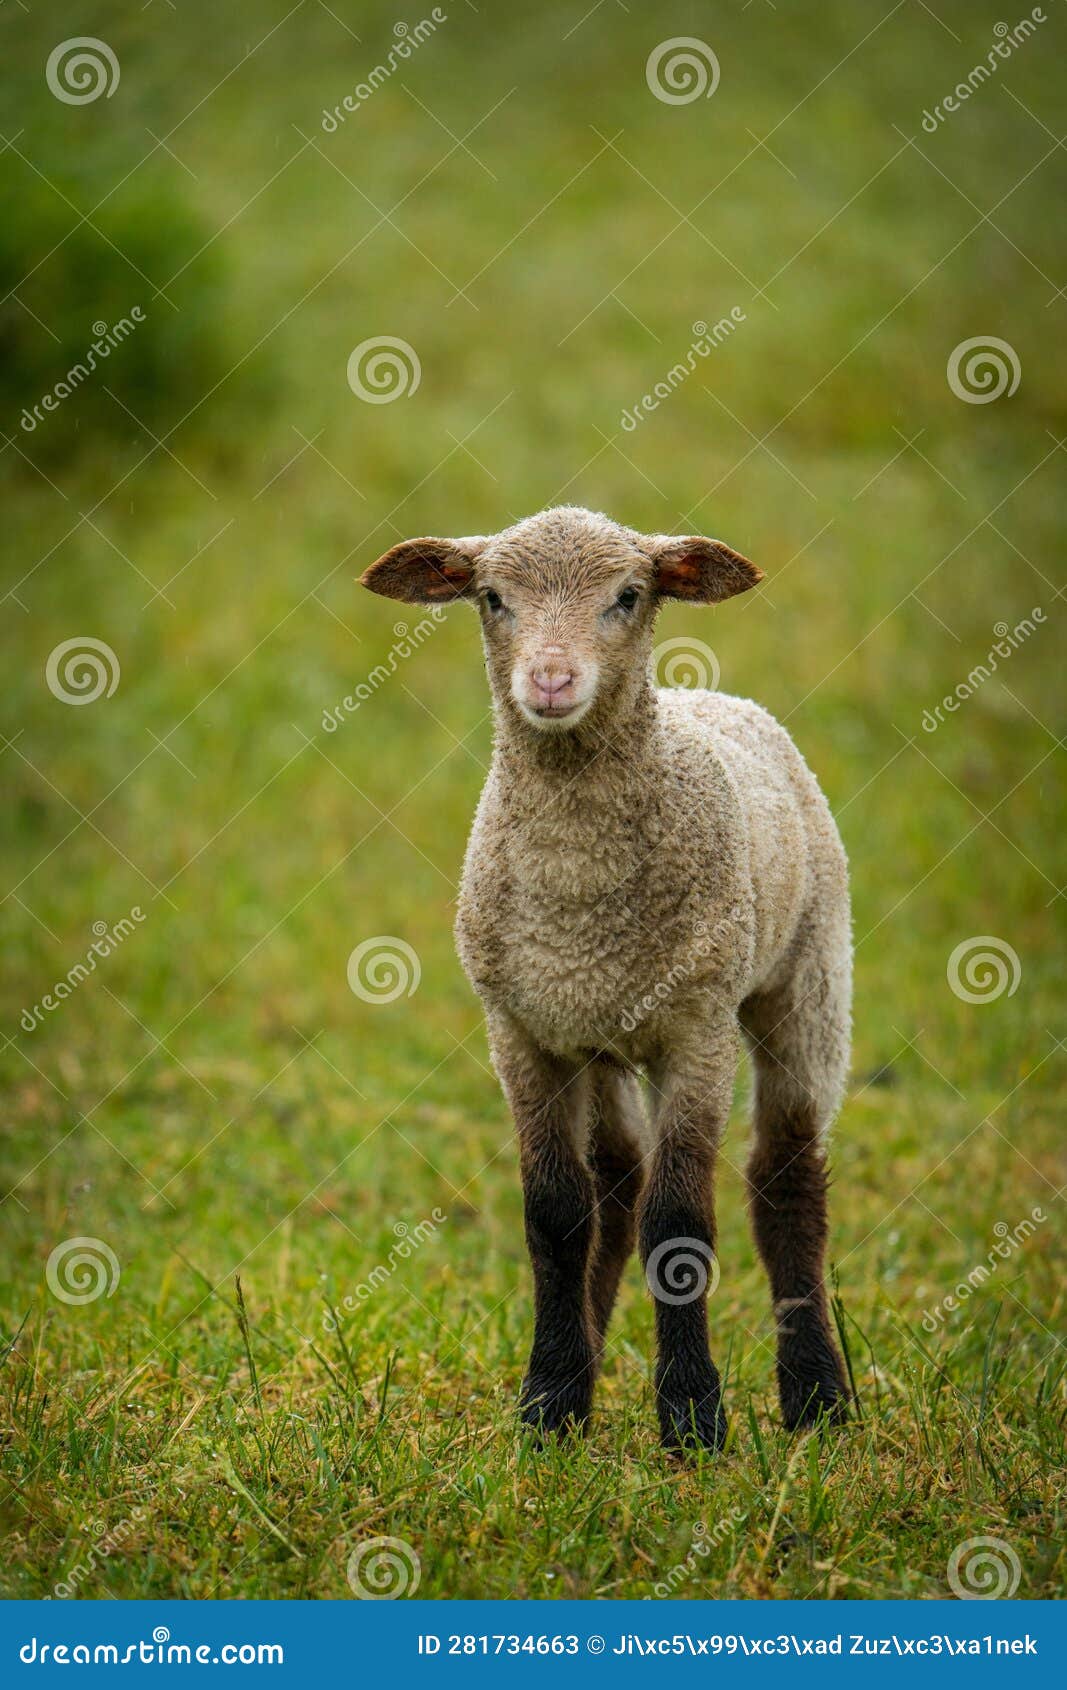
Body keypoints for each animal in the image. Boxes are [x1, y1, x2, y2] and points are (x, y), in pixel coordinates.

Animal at [361, 505, 851, 1453]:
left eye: (628, 595)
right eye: (490, 597)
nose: (550, 680)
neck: (579, 887)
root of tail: (714, 699)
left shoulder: (695, 1028)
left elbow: (680, 1221)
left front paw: (692, 1417)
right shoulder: (522, 1033)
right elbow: (555, 1214)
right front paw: (548, 1403)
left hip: (805, 975)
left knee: (784, 1177)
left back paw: (817, 1398)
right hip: (599, 1040)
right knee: (613, 1187)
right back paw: (584, 1364)